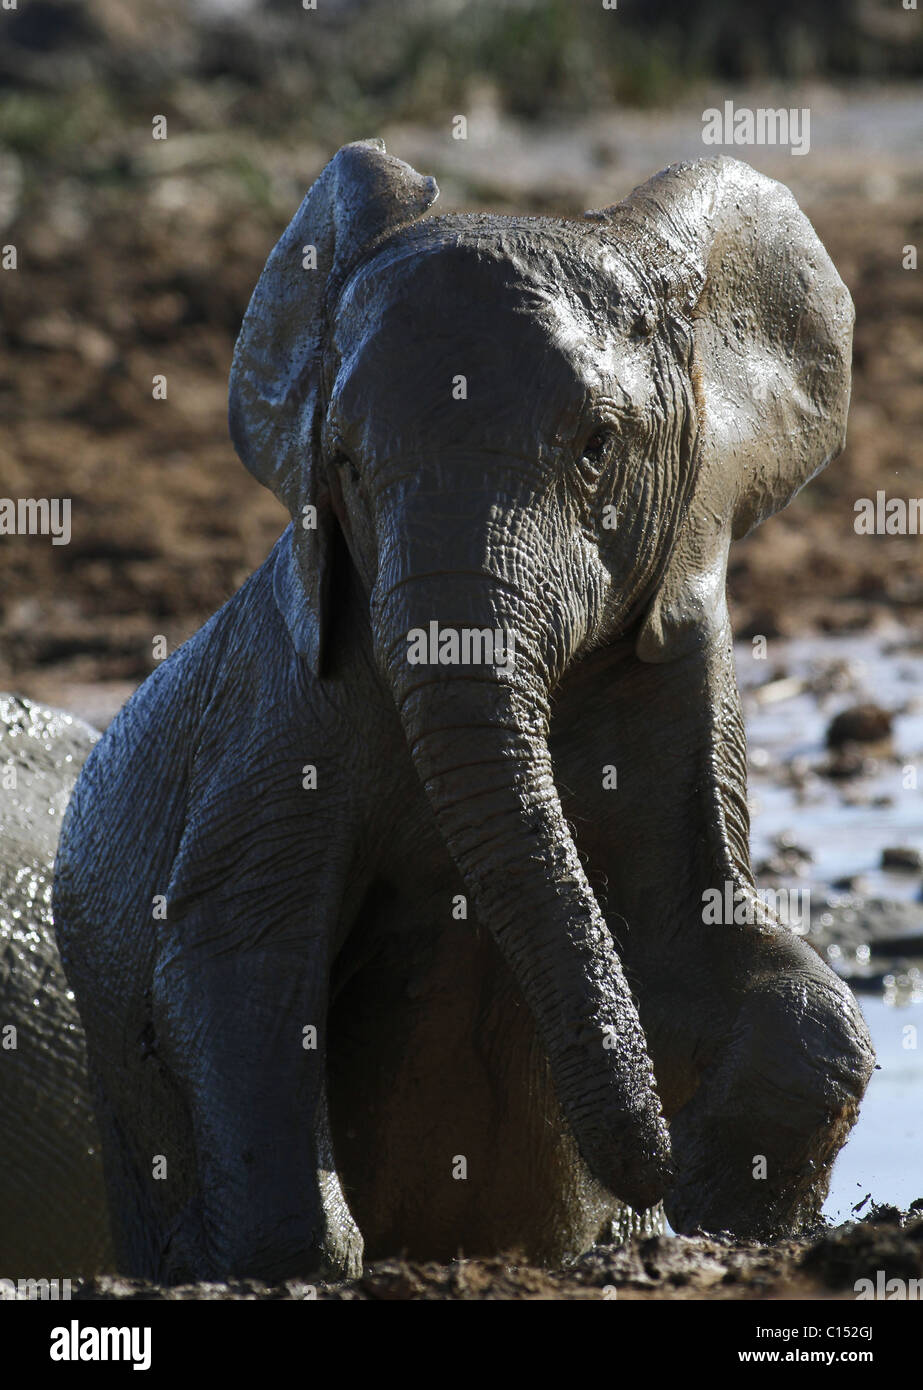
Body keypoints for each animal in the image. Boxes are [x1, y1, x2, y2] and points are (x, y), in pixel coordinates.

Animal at [52, 141, 875, 1284]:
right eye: (343, 462)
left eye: (596, 445)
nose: (649, 1178)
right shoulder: (286, 707)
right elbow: (233, 957)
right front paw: (300, 1259)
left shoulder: (678, 669)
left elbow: (700, 938)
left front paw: (730, 1211)